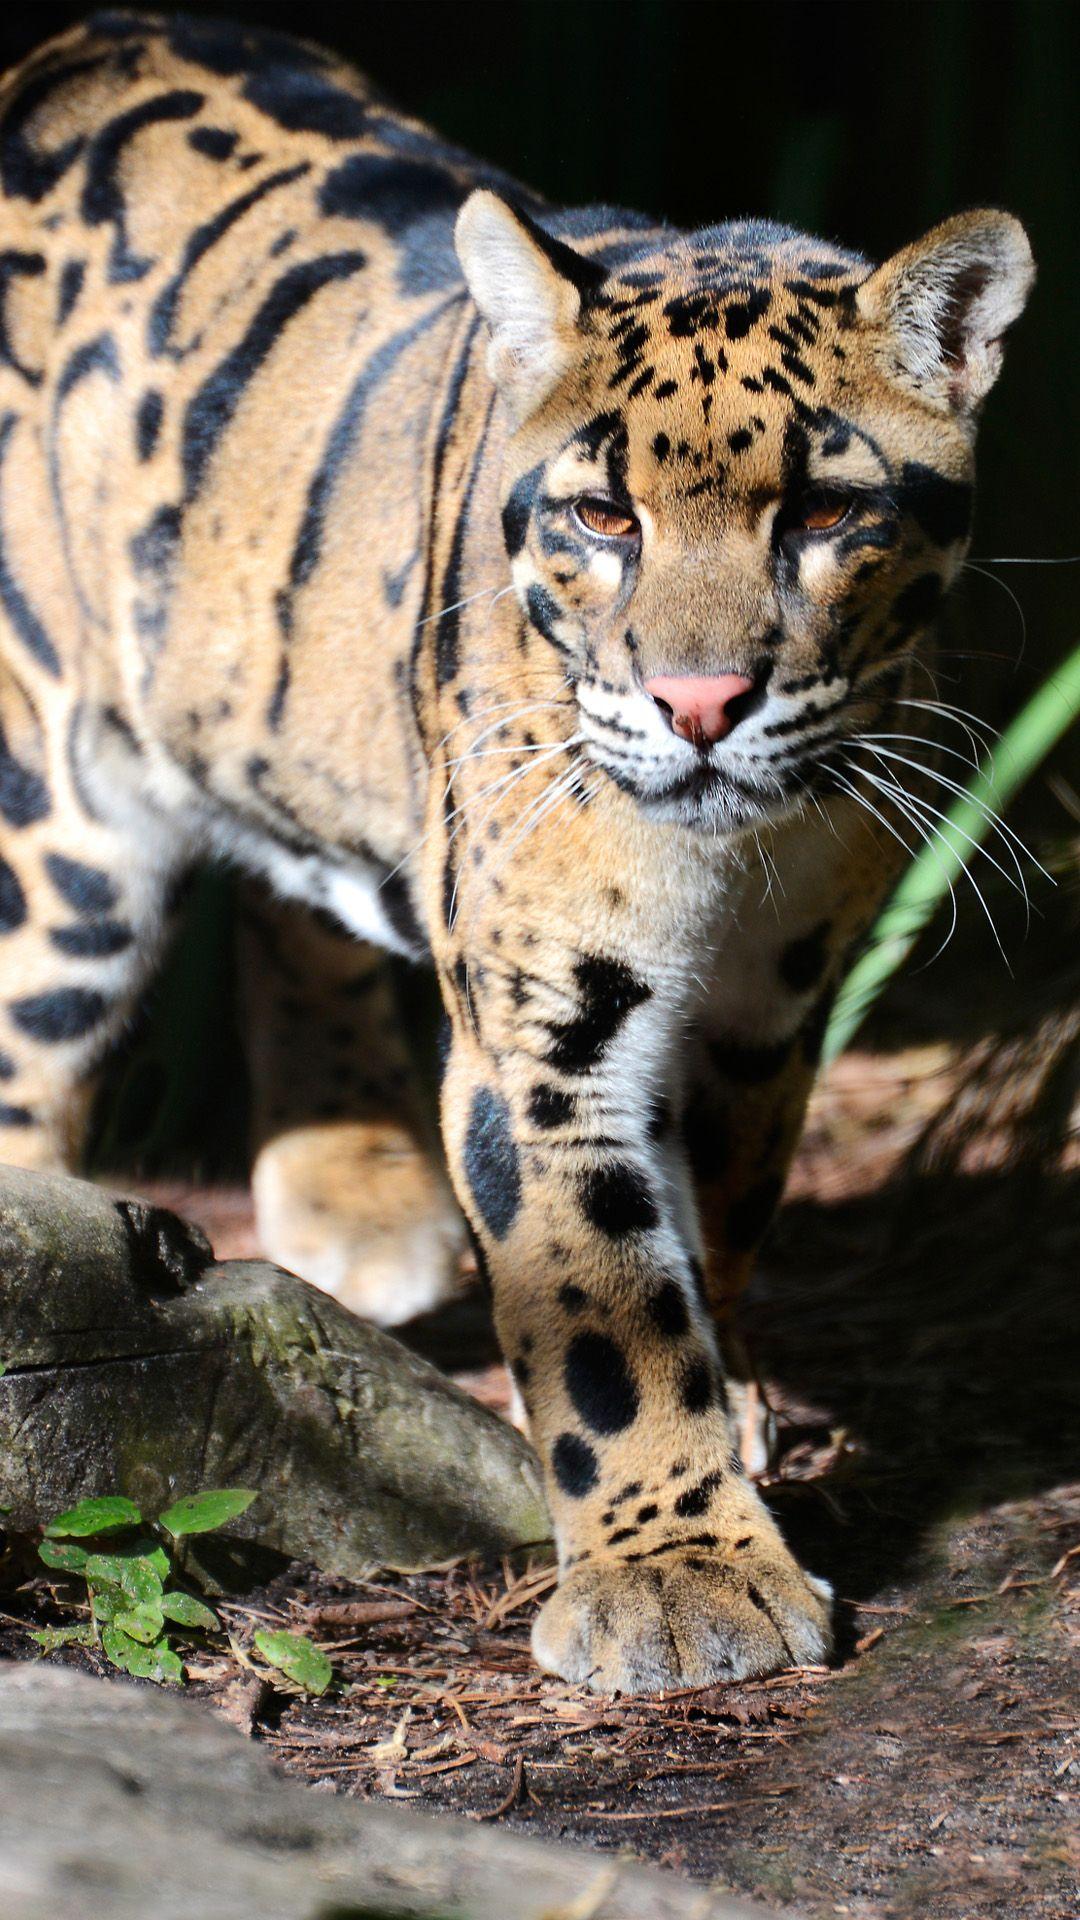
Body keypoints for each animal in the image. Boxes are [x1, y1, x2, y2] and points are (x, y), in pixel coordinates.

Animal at [0, 11, 1033, 1693]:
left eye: (826, 512)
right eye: (604, 517)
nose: (700, 703)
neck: (729, 870)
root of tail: (78, 42)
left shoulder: (774, 1012)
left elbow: (718, 1219)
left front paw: (736, 1423)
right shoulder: (547, 1028)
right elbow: (605, 1303)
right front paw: (680, 1576)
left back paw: (353, 1197)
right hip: (56, 820)